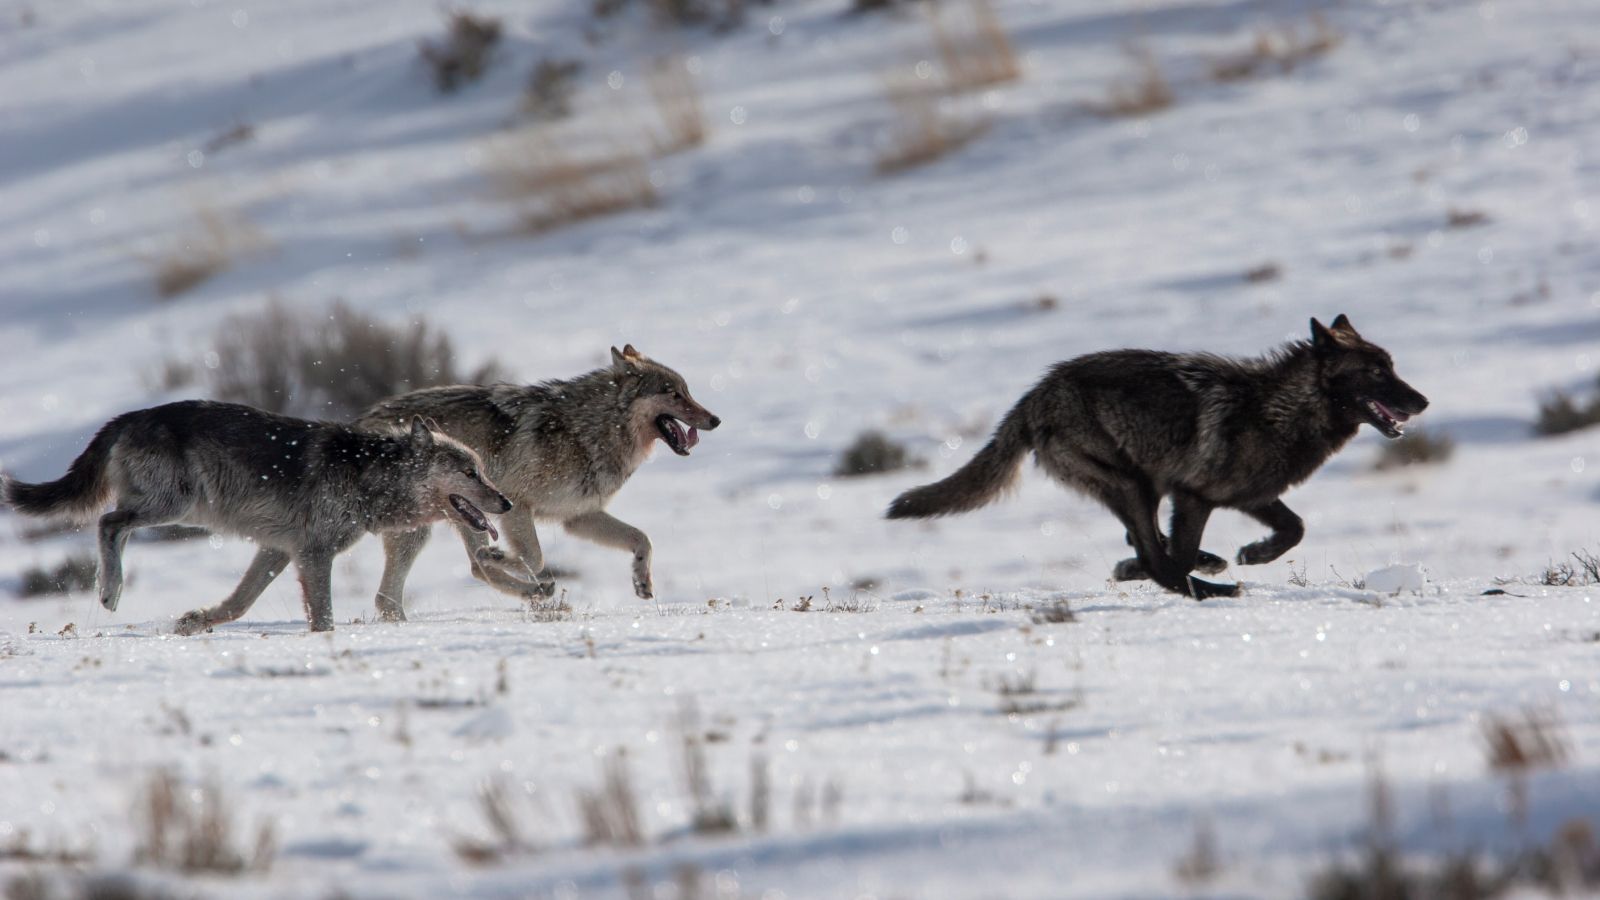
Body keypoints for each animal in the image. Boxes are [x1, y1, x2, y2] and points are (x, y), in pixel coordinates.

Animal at [2, 401, 510, 633]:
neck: (368, 476)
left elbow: (239, 603)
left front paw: (195, 621)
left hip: (169, 509)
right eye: (470, 473)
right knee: (107, 523)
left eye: (483, 471)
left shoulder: (279, 551)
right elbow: (323, 616)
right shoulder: (314, 554)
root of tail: (126, 416)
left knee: (114, 527)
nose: (505, 503)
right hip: (174, 507)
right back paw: (110, 590)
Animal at [353, 344, 720, 620]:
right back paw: (528, 585)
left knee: (407, 591)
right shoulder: (516, 504)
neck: (588, 429)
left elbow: (643, 538)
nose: (715, 419)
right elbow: (535, 559)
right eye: (672, 394)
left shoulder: (578, 516)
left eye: (687, 391)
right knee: (464, 570)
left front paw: (641, 581)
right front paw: (507, 560)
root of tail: (360, 421)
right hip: (442, 521)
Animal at [886, 315, 1429, 599]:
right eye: (1376, 372)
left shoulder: (1252, 497)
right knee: (1157, 555)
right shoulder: (1194, 496)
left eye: (1391, 366)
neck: (1276, 409)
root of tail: (1034, 395)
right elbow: (1177, 555)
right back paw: (1206, 587)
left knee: (1147, 543)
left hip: (1139, 490)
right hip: (1133, 486)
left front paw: (1253, 554)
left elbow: (1295, 529)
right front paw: (1198, 571)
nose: (1422, 401)